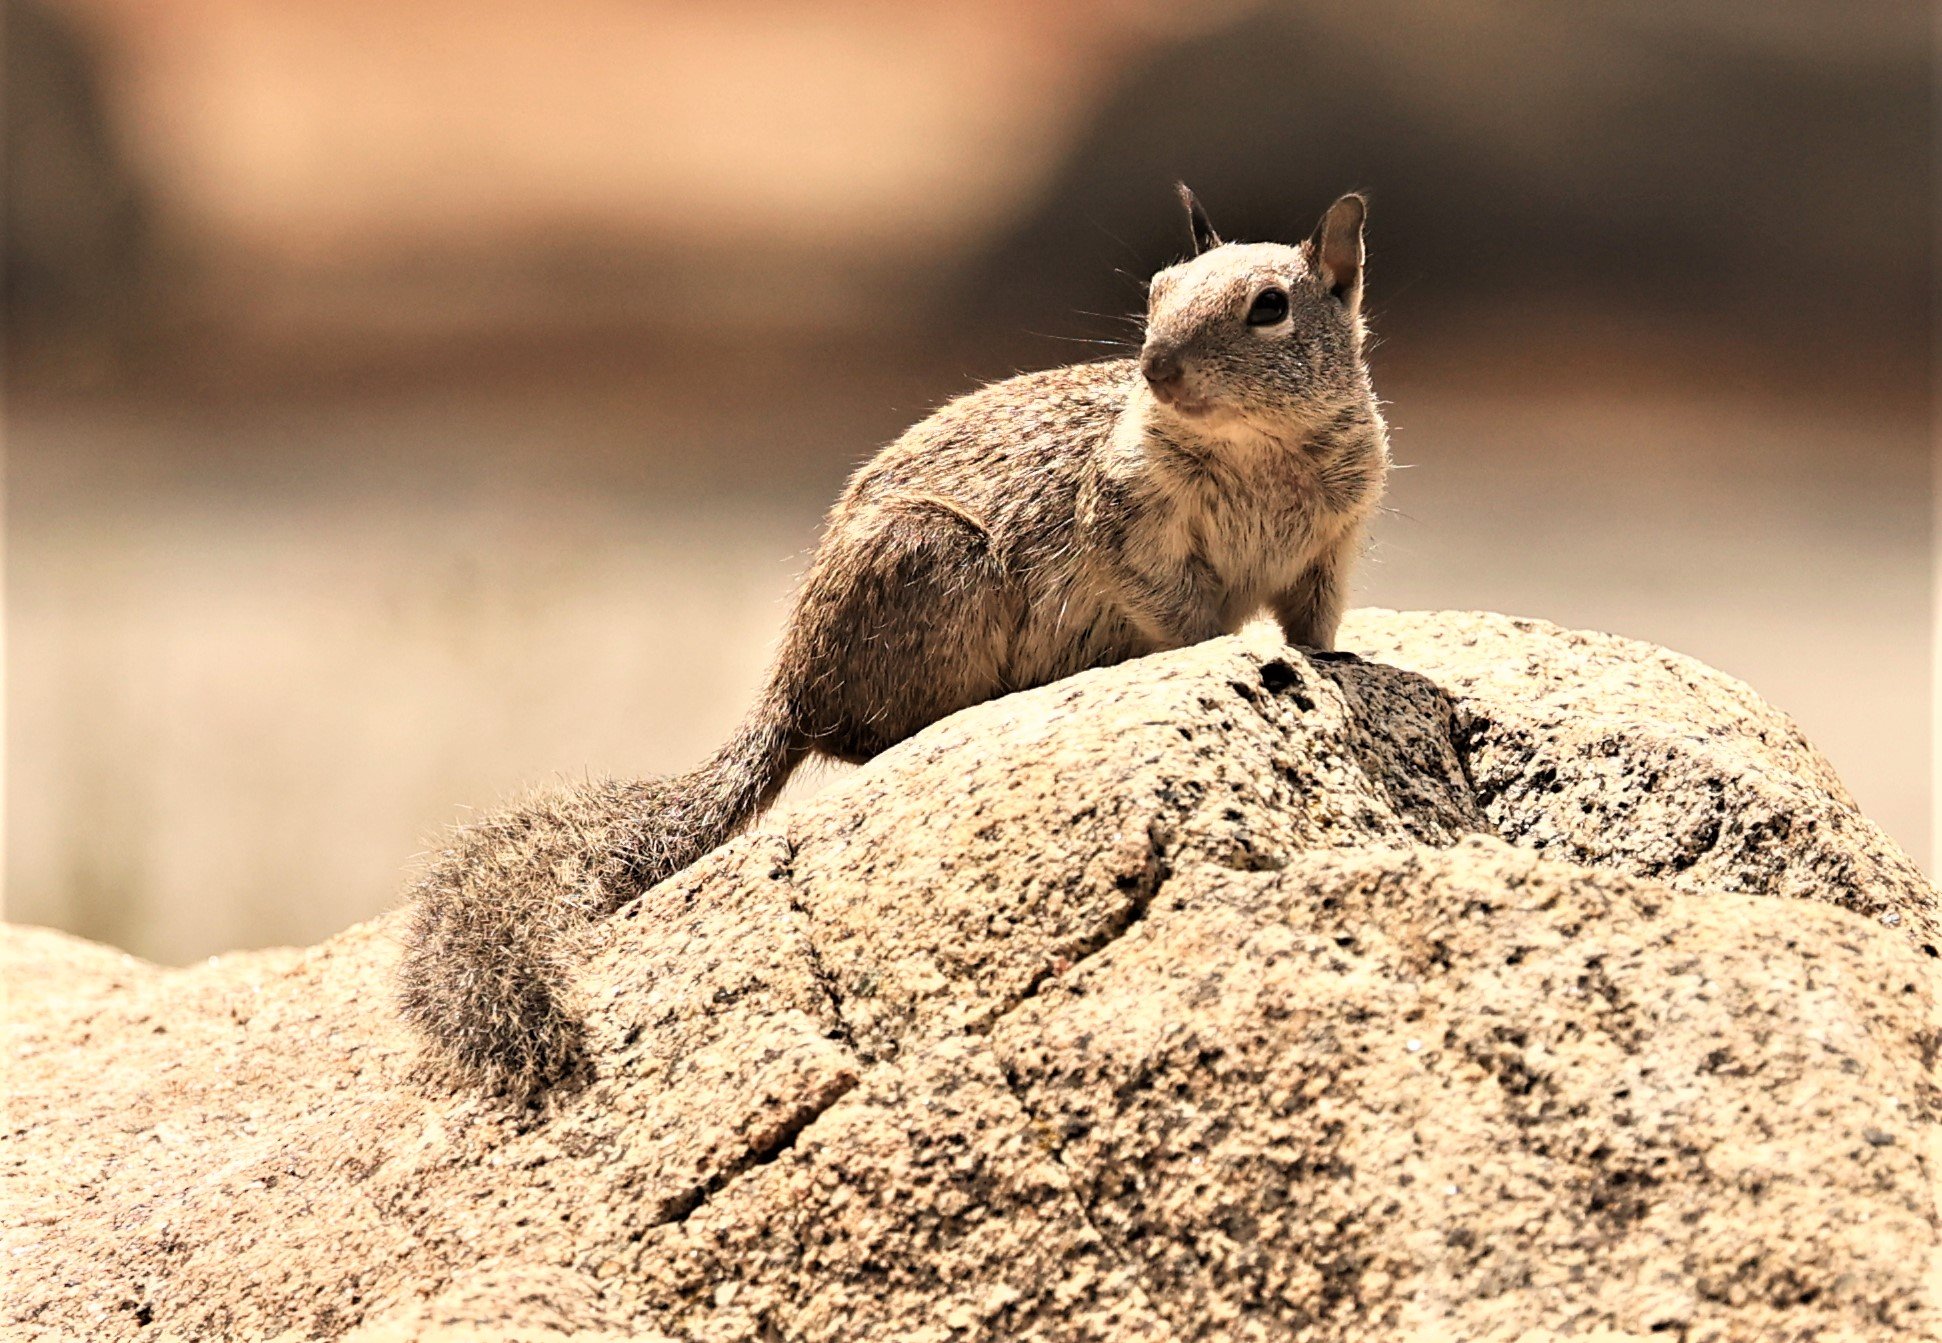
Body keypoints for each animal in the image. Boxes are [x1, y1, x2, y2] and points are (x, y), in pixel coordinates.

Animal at [399, 188, 1391, 1097]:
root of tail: (788, 685)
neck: (1260, 453)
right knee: (860, 736)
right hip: (931, 568)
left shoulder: (1335, 542)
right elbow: (1178, 612)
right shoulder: (1125, 528)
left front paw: (1331, 659)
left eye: (1270, 305)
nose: (1155, 367)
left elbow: (1315, 618)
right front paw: (1214, 649)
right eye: (1156, 289)